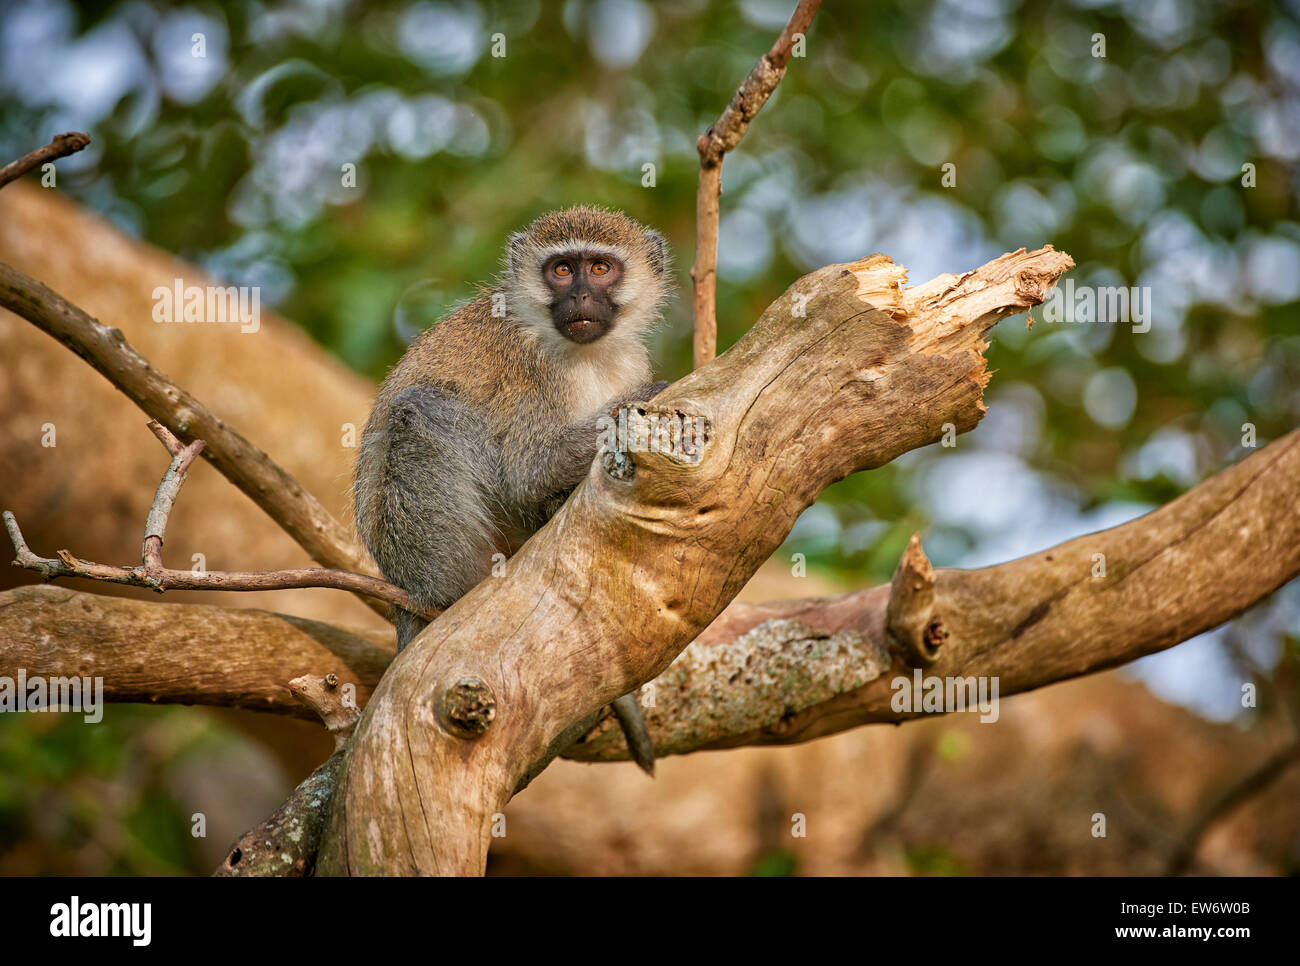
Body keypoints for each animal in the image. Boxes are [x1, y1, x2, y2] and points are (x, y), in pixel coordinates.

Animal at [353, 206, 670, 775]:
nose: (581, 297)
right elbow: (528, 469)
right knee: (420, 413)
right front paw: (651, 395)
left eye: (600, 269)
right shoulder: (528, 363)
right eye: (562, 271)